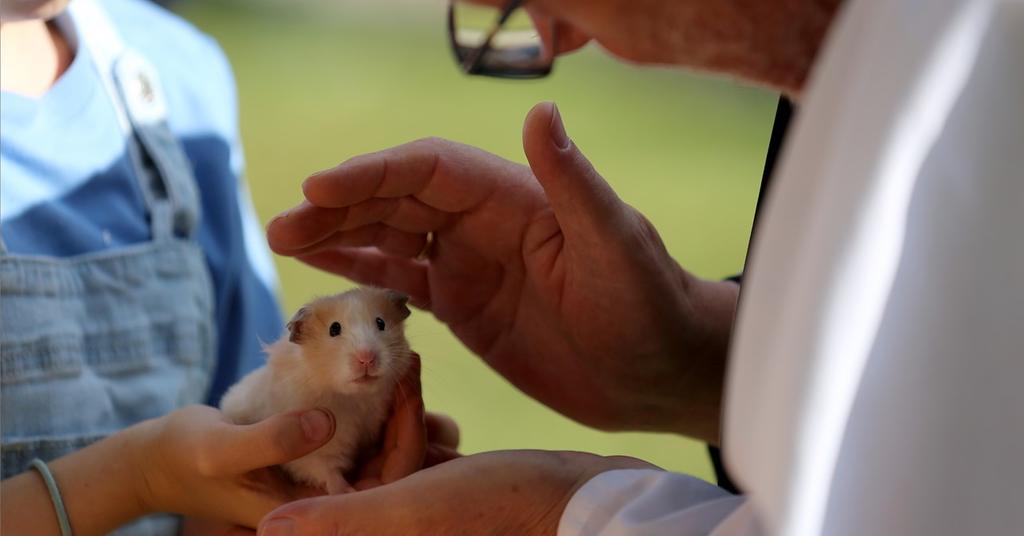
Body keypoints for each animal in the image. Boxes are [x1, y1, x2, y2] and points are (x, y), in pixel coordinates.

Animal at [220, 287, 415, 494]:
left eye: (381, 323)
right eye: (334, 329)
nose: (367, 358)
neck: (353, 398)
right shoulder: (316, 453)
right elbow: (327, 471)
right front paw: (347, 490)